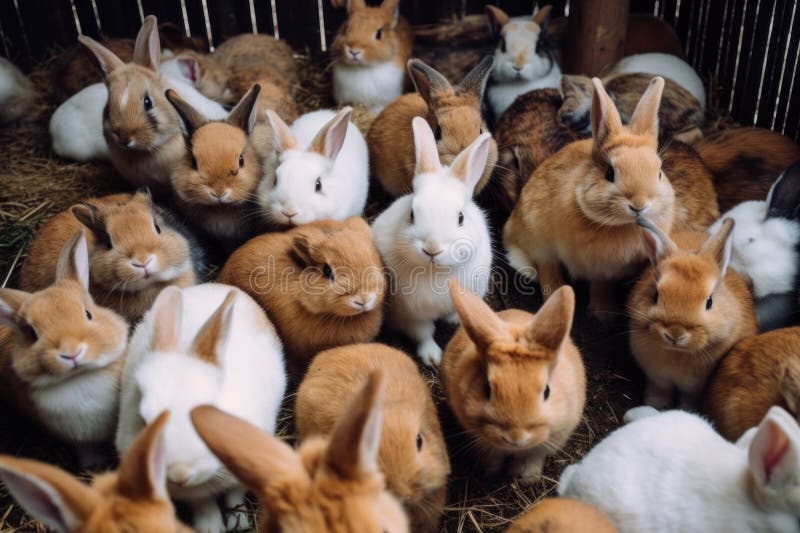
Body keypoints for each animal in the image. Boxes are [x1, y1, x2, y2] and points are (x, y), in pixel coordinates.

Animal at [0, 232, 129, 468]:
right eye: (32, 334)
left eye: (88, 314)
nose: (71, 352)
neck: (79, 377)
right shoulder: (79, 441)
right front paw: (93, 467)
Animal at [117, 283, 286, 533]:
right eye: (143, 421)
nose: (178, 473)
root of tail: (216, 285)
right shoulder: (194, 496)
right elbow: (204, 506)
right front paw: (210, 527)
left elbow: (234, 496)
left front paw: (239, 522)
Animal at [372, 117, 493, 367]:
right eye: (411, 215)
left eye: (460, 218)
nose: (432, 249)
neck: (437, 272)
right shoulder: (411, 315)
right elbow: (423, 334)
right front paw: (433, 358)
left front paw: (454, 321)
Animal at [442, 282, 586, 484]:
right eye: (487, 389)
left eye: (547, 392)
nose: (514, 438)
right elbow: (492, 454)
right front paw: (490, 472)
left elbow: (532, 456)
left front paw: (527, 478)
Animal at [628, 217, 758, 409]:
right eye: (655, 295)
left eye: (709, 302)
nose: (675, 334)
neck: (677, 352)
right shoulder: (657, 378)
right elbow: (660, 390)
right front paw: (655, 405)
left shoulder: (694, 387)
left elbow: (688, 398)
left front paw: (687, 410)